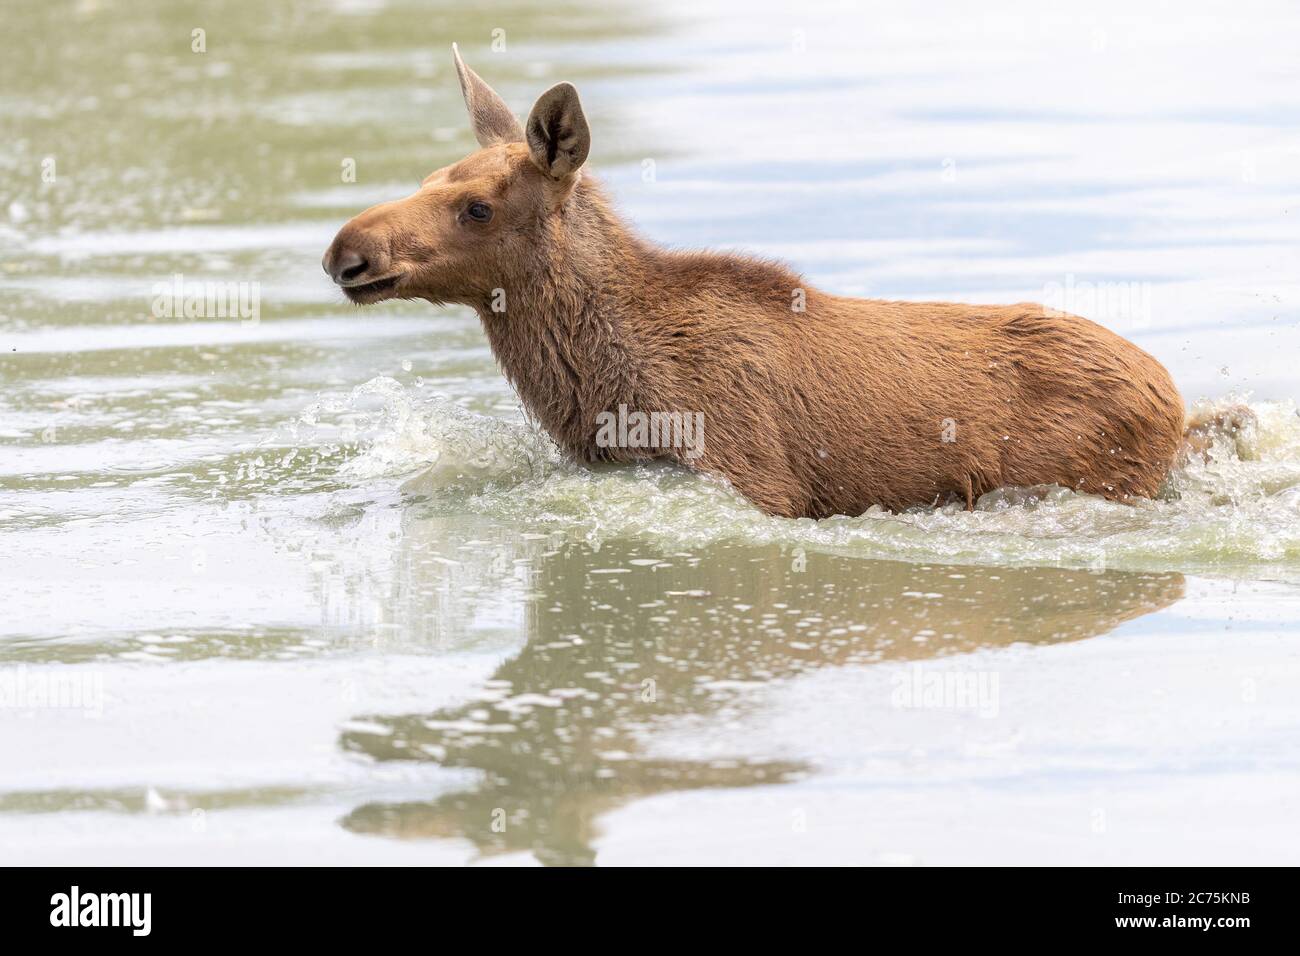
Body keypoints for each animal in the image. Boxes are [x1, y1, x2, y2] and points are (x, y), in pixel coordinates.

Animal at [323, 46, 1200, 520]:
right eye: (430, 176)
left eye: (475, 206)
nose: (345, 252)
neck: (603, 384)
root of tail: (1176, 403)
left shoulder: (750, 476)